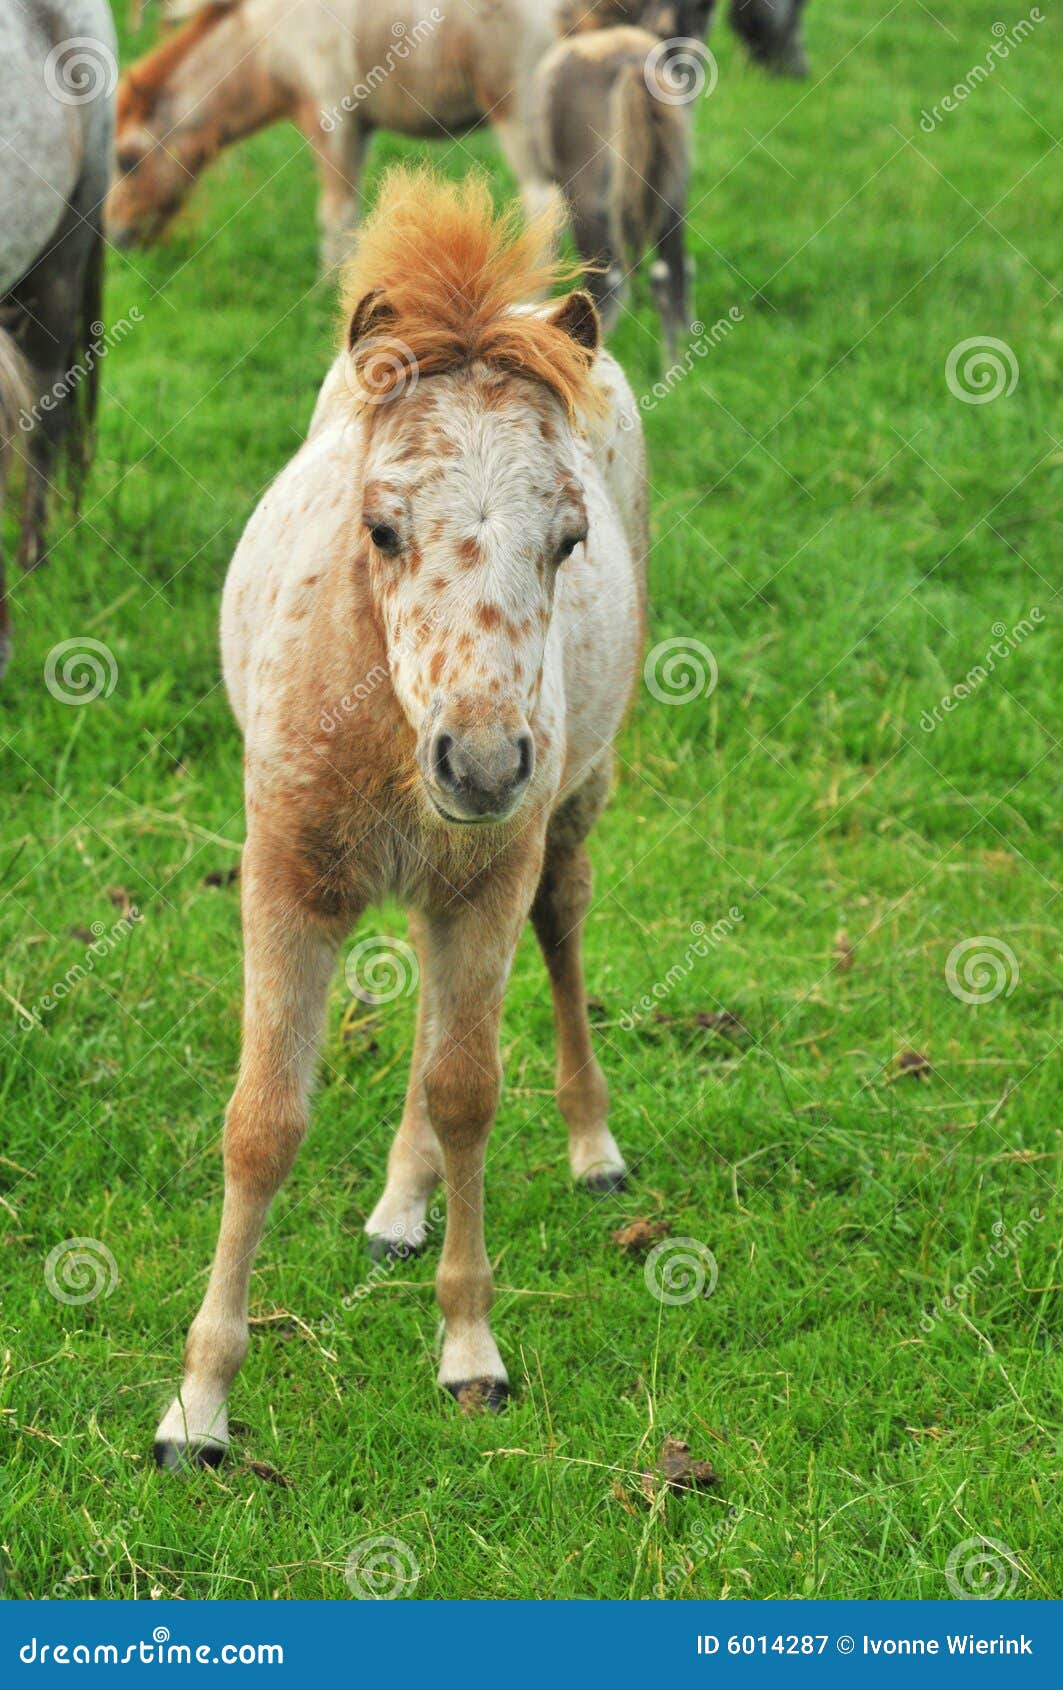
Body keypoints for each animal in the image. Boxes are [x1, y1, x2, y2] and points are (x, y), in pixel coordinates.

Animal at [153, 166, 648, 1467]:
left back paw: (591, 1149)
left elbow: (467, 1089)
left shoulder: (486, 872)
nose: (478, 762)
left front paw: (470, 1353)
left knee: (558, 922)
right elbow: (263, 1122)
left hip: (565, 803)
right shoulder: (285, 875)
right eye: (380, 528)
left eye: (568, 538)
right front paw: (196, 1409)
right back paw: (394, 1207)